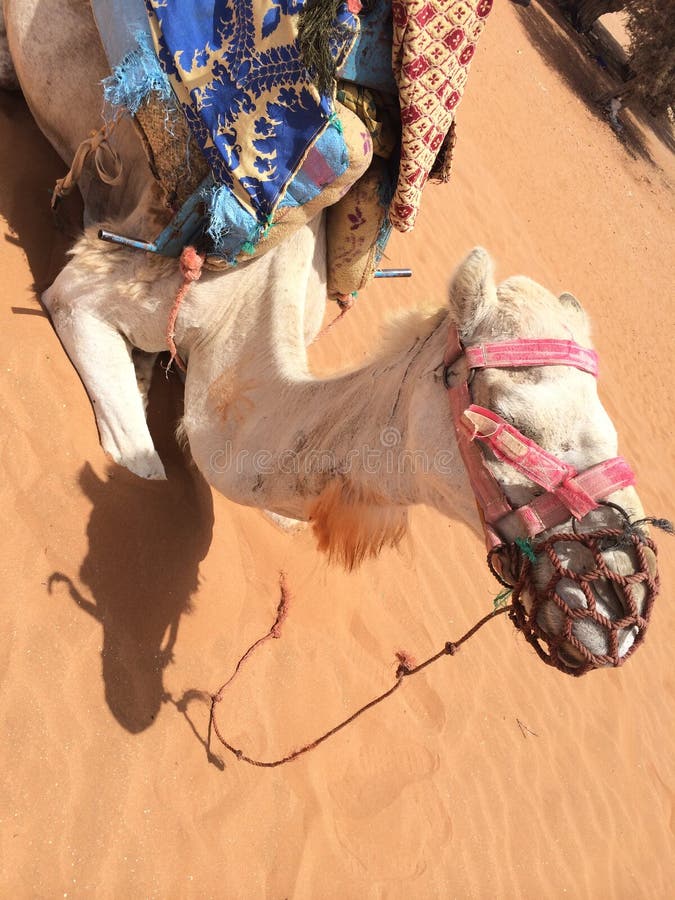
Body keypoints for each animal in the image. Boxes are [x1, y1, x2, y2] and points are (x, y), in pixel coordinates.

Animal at [2, 0, 658, 670]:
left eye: (608, 431)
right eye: (503, 416)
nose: (625, 606)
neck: (241, 321)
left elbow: (281, 517)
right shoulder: (88, 292)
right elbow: (141, 467)